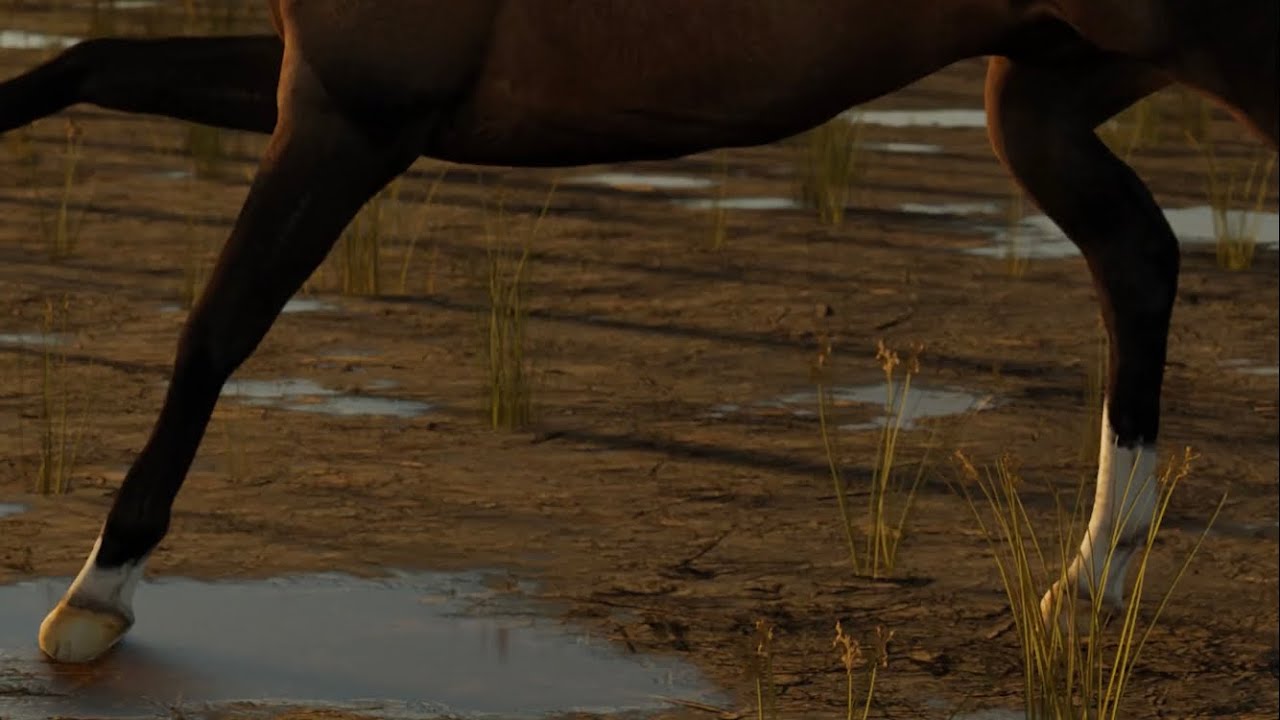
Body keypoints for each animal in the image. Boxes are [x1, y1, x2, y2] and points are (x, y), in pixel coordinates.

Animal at [1, 0, 1275, 664]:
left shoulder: (350, 112)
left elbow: (215, 335)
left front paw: (96, 598)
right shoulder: (325, 87)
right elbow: (83, 65)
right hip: (1041, 95)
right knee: (1135, 261)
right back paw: (1087, 581)